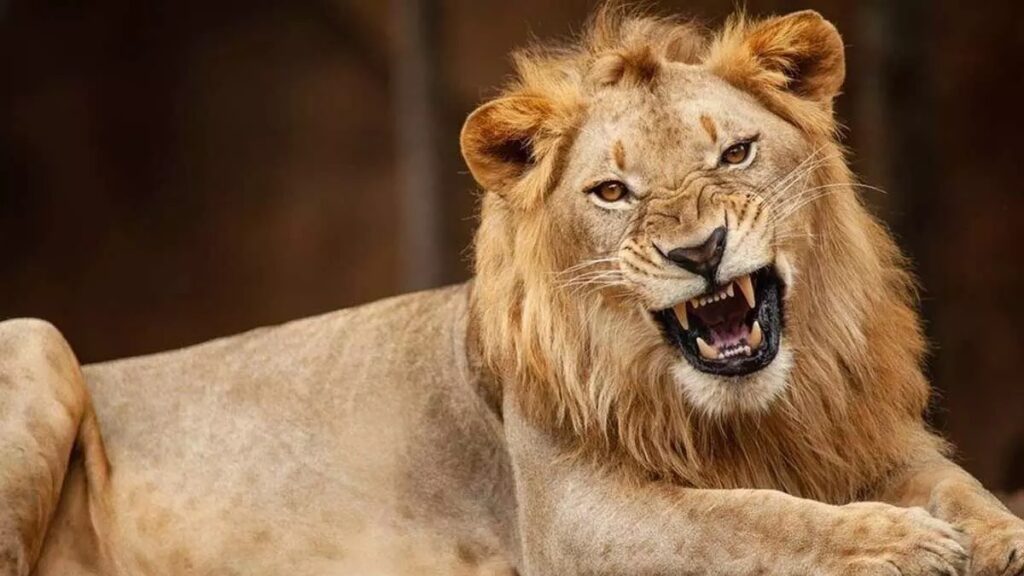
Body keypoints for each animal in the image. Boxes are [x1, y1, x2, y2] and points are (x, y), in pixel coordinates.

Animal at [1, 7, 1021, 576]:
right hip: (38, 338)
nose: (701, 252)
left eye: (735, 152)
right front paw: (898, 546)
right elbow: (745, 519)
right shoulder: (571, 520)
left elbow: (961, 485)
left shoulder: (862, 435)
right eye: (612, 192)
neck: (747, 415)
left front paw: (996, 539)